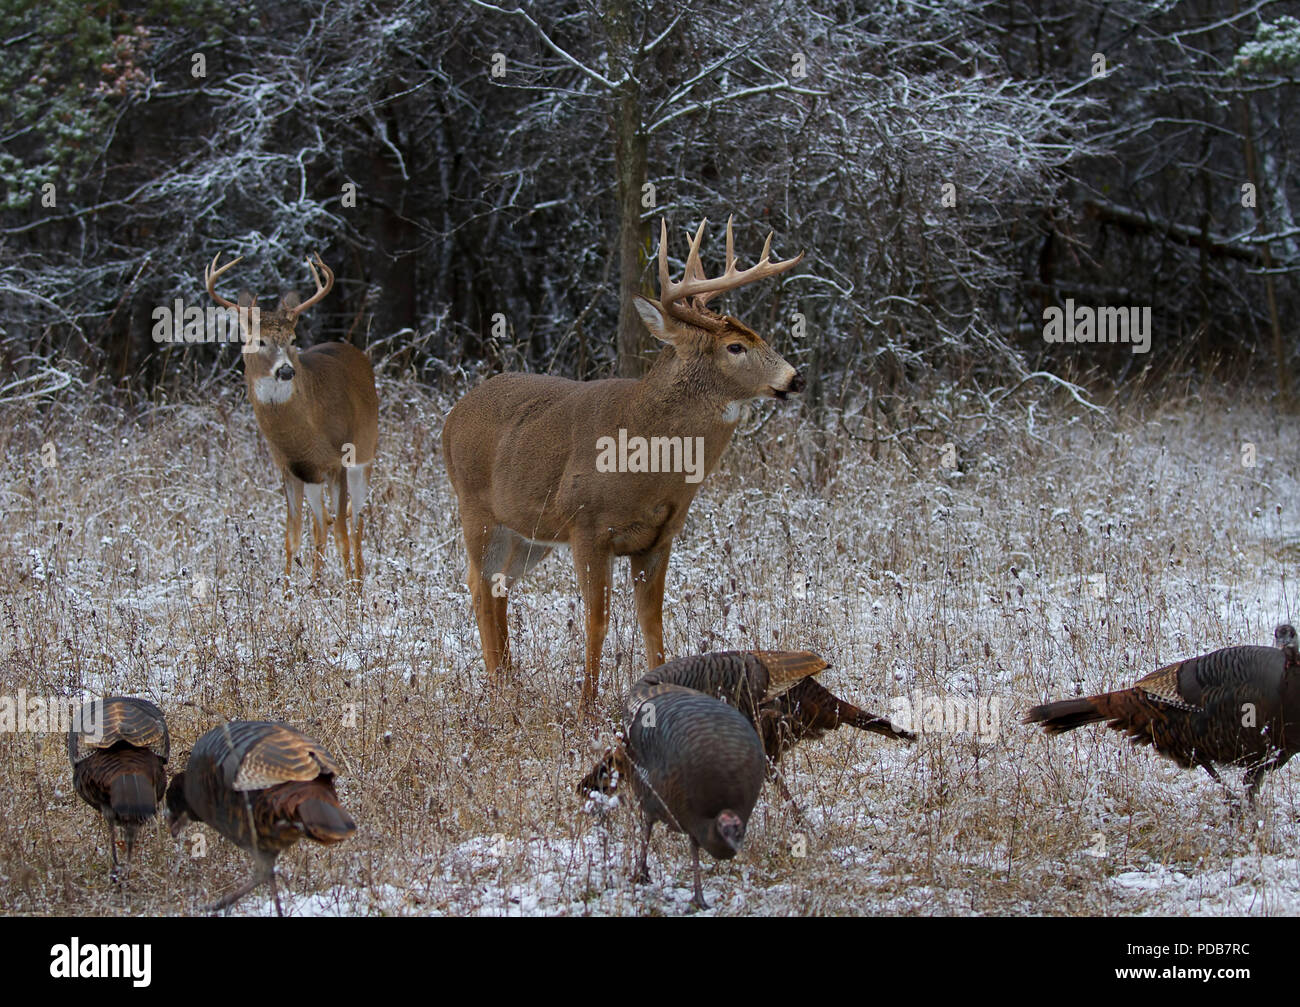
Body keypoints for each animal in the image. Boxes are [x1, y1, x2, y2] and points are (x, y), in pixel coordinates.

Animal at [205, 251, 379, 588]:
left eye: (293, 338)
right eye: (259, 341)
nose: (286, 370)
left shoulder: (339, 462)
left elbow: (342, 534)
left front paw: (350, 597)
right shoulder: (289, 469)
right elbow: (292, 537)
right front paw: (286, 594)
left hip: (364, 456)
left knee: (357, 520)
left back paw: (358, 580)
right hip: (313, 478)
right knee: (321, 524)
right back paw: (316, 585)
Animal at [442, 217, 804, 716]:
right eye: (734, 346)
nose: (795, 378)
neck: (647, 460)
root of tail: (452, 416)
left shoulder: (659, 538)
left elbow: (652, 621)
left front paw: (662, 691)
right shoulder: (587, 526)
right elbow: (597, 618)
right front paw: (585, 708)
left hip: (528, 533)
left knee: (498, 587)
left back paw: (512, 682)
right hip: (476, 508)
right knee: (478, 585)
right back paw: (499, 688)